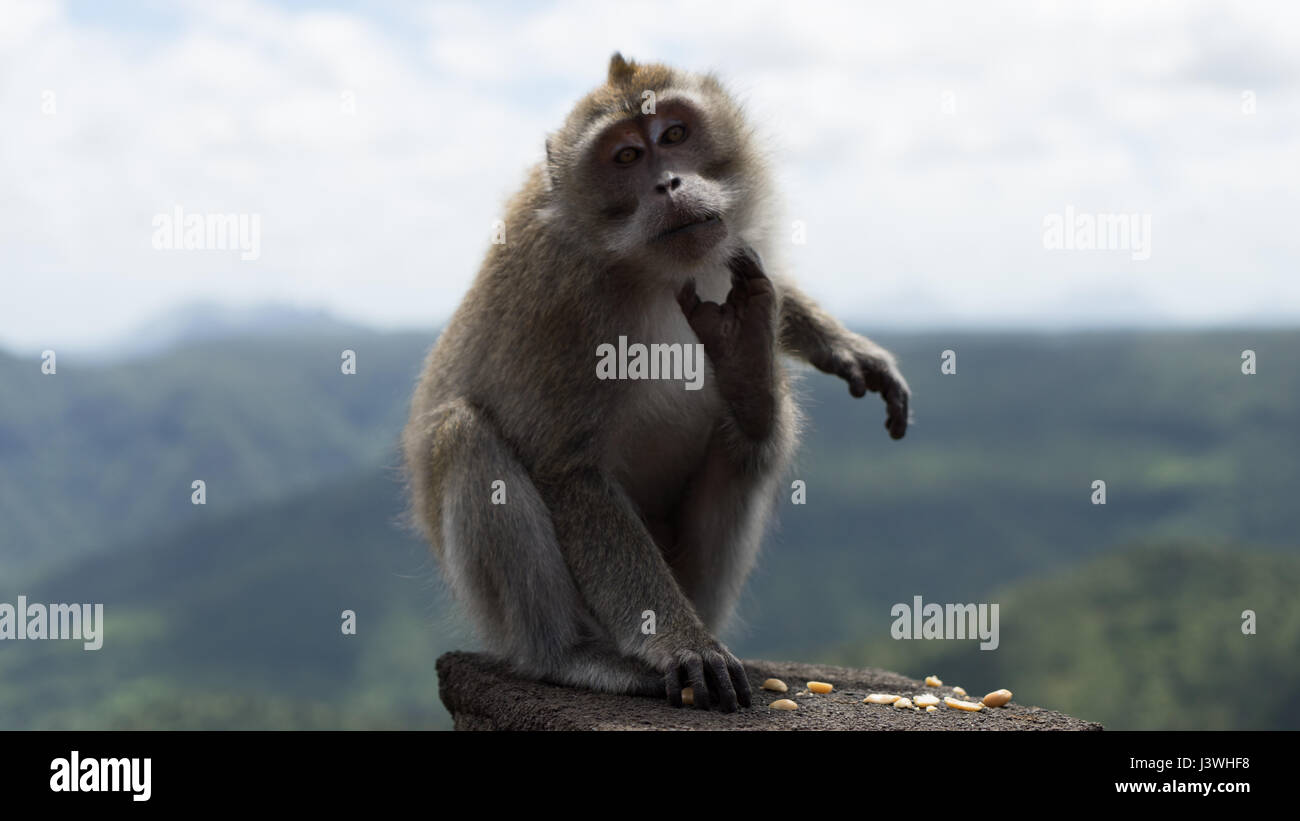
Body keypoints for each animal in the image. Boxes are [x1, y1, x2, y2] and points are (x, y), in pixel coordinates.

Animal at [402, 53, 910, 712]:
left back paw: (749, 376)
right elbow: (568, 471)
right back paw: (570, 656)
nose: (668, 184)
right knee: (463, 435)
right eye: (625, 157)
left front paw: (843, 345)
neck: (646, 268)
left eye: (674, 134)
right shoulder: (563, 299)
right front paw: (679, 644)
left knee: (756, 441)